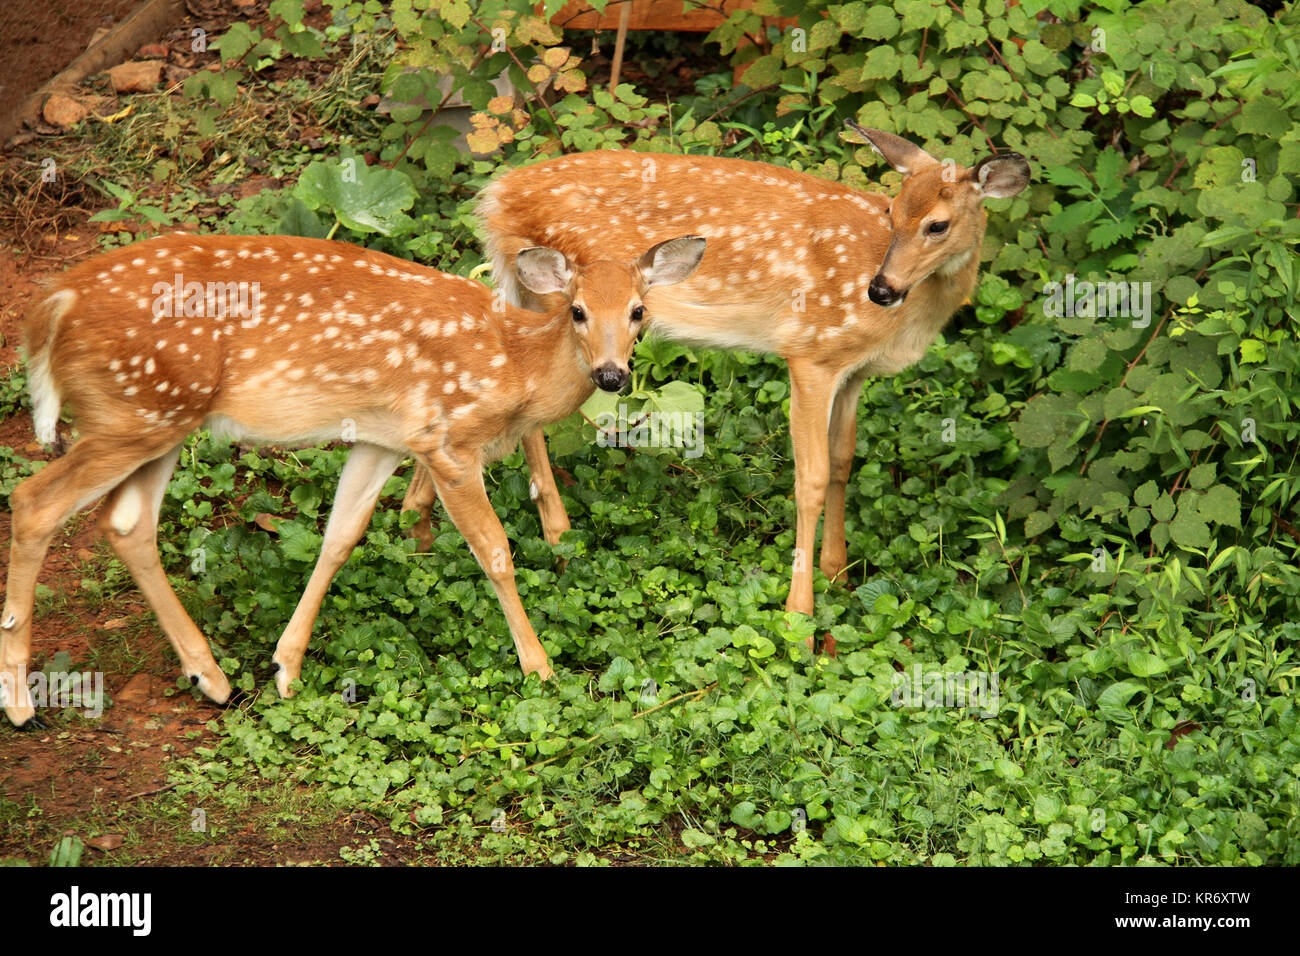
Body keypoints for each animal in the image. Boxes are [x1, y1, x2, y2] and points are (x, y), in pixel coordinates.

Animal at [0, 231, 705, 728]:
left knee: (126, 523)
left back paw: (213, 679)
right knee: (34, 501)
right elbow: (496, 552)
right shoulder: (448, 440)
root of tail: (54, 306)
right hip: (136, 412)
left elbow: (340, 537)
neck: (514, 364)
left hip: (158, 417)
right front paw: (540, 668)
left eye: (639, 311)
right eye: (579, 310)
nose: (612, 375)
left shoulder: (381, 437)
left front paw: (285, 668)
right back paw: (21, 704)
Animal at [400, 123, 1031, 642]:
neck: (905, 322)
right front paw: (800, 617)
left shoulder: (852, 371)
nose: (880, 288)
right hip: (563, 298)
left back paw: (419, 534)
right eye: (892, 214)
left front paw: (839, 574)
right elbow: (810, 478)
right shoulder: (810, 353)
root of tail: (495, 196)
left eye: (936, 224)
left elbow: (843, 462)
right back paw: (554, 535)